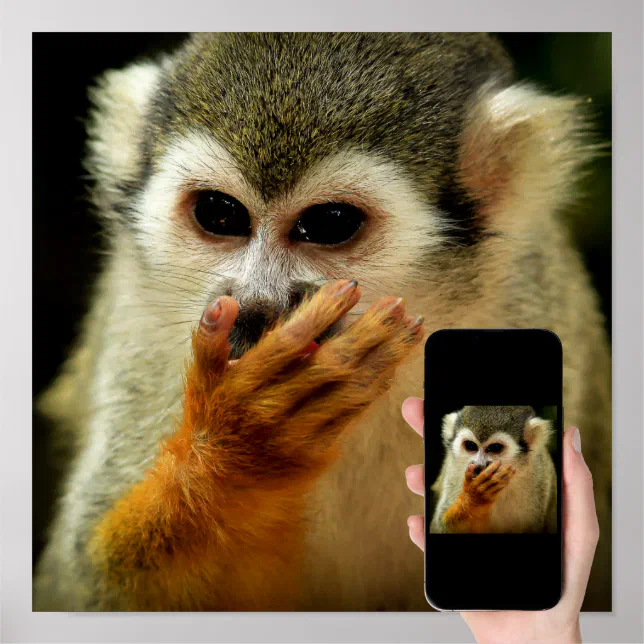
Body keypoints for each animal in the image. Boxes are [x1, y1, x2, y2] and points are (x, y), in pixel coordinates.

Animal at [430, 406, 557, 535]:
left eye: (495, 448)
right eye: (471, 446)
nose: (478, 466)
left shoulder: (539, 475)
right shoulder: (454, 471)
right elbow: (442, 526)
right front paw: (475, 498)